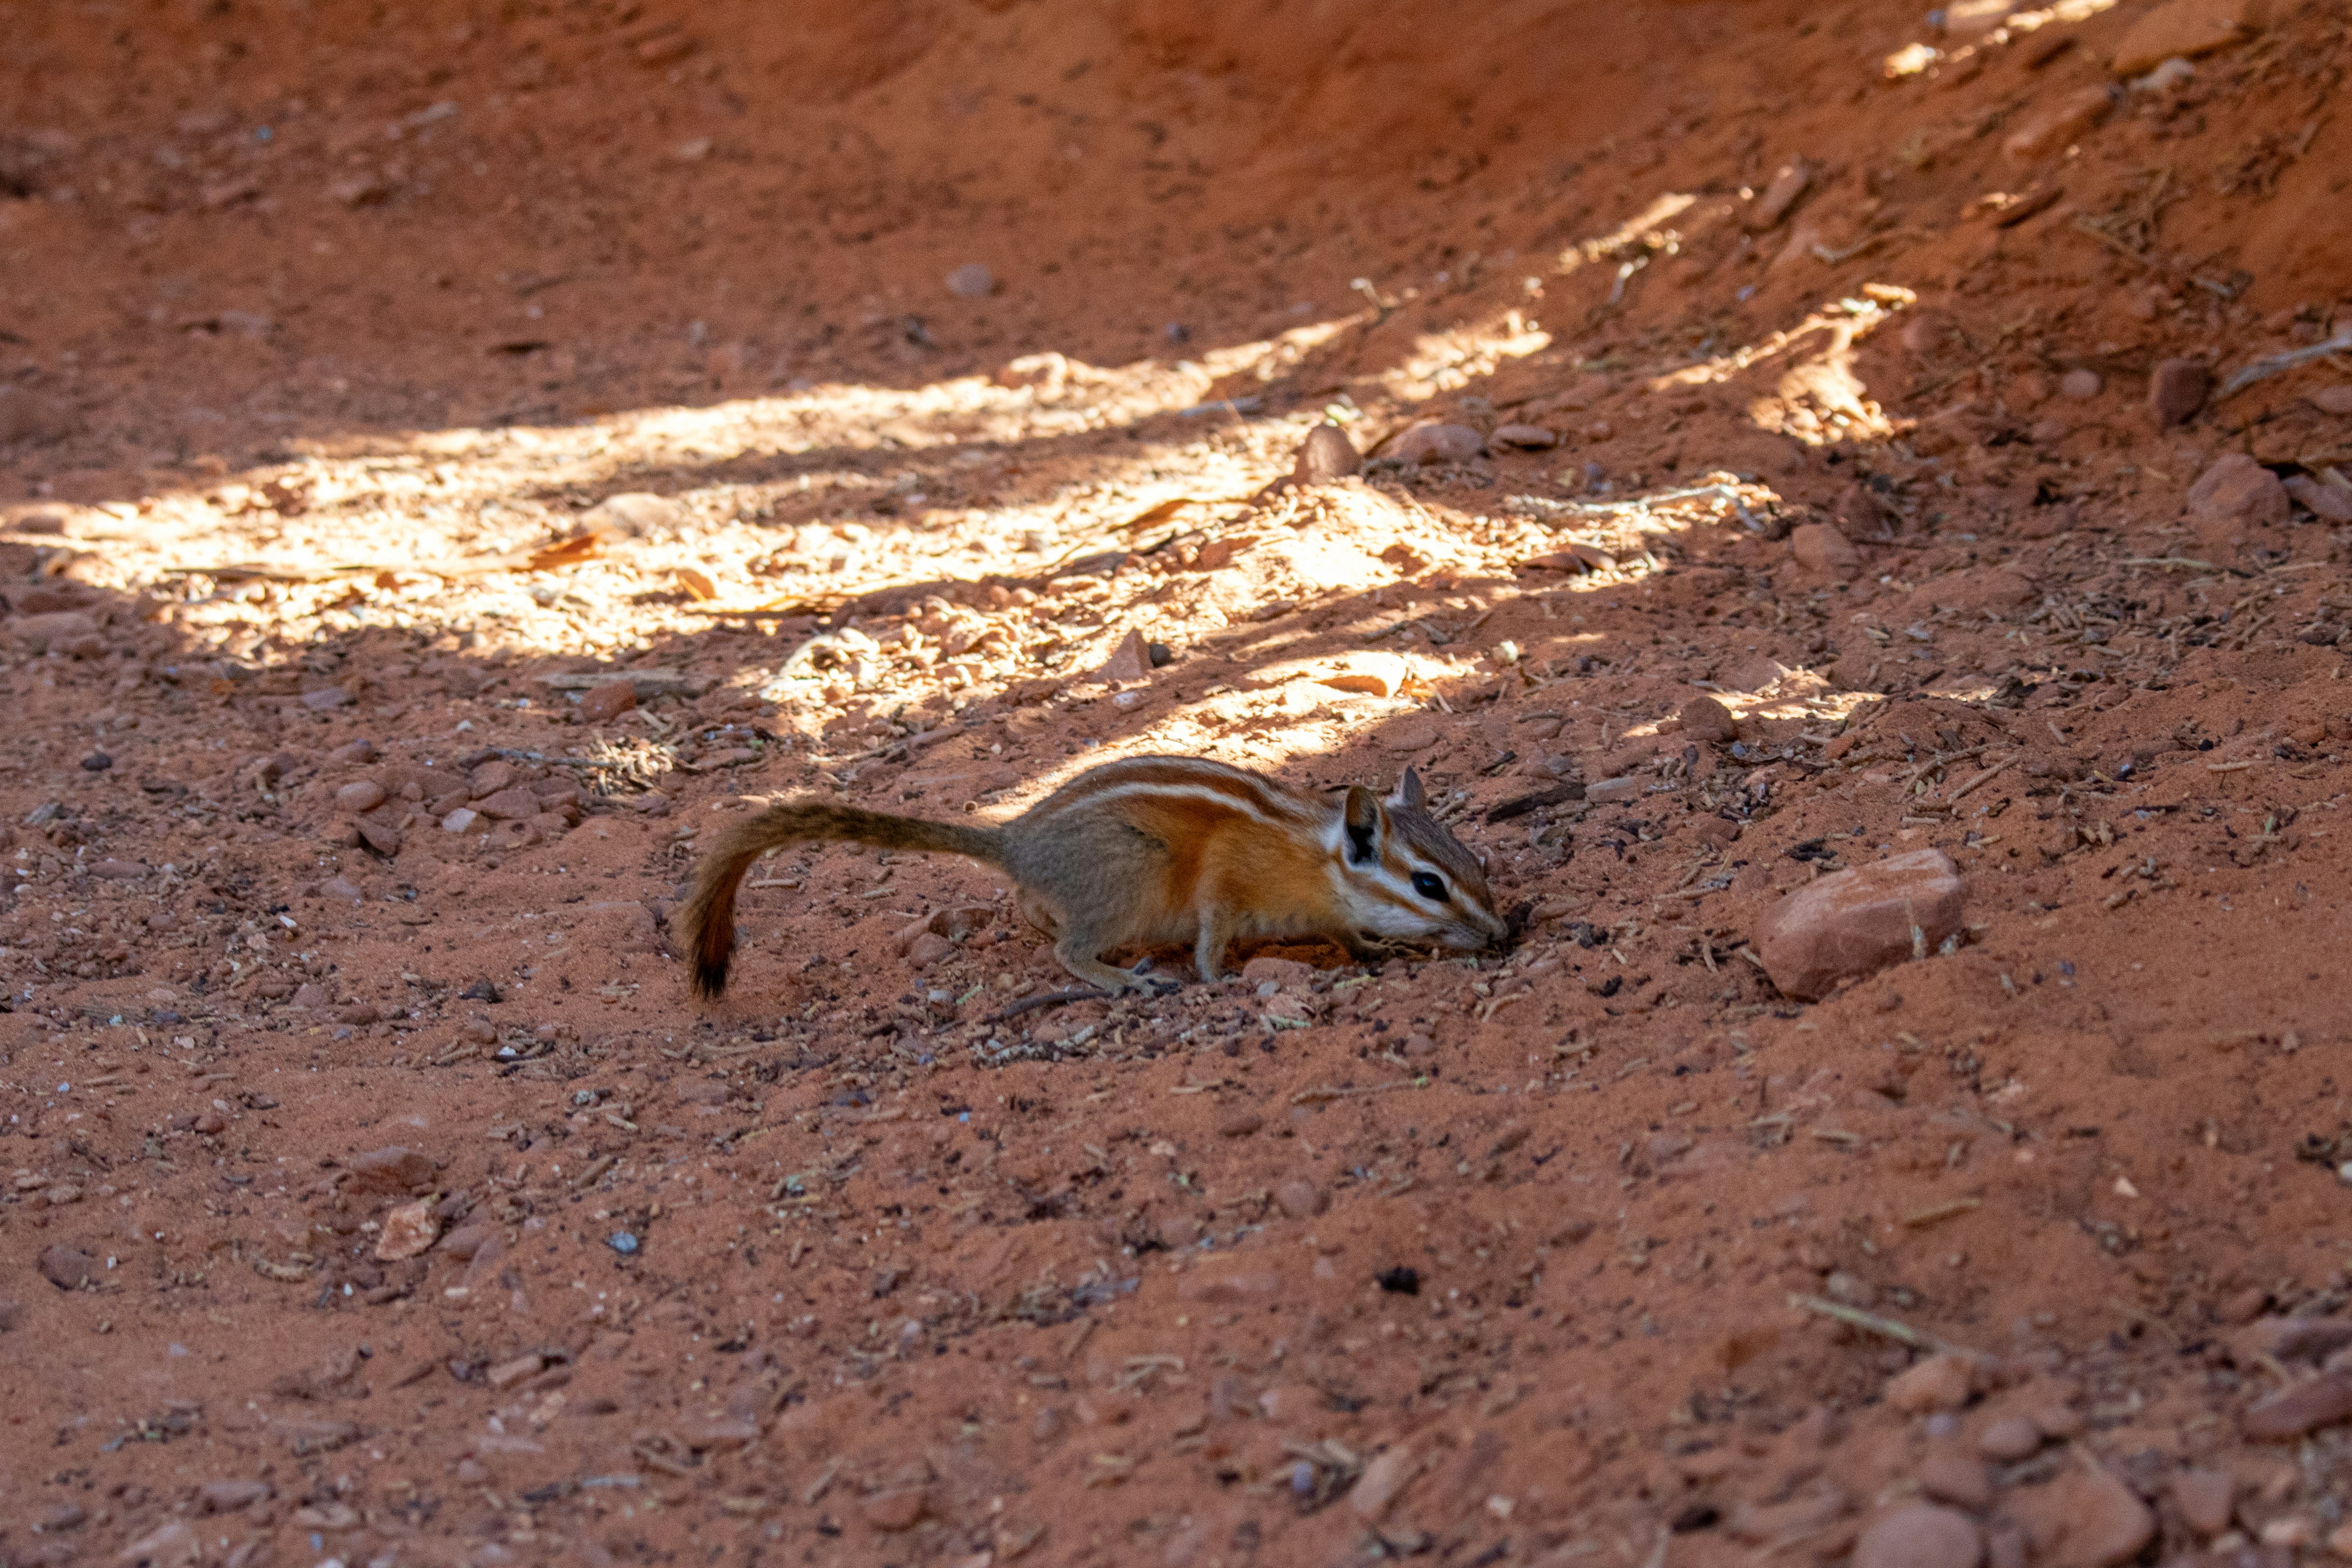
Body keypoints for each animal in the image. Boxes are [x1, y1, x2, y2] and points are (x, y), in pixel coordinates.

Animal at [680, 754, 1506, 999]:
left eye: (1479, 863)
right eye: (1429, 883)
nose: (1504, 932)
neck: (1317, 856)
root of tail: (1015, 841)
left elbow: (1350, 933)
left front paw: (1378, 948)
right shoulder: (1225, 881)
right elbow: (1213, 932)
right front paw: (1219, 978)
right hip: (1130, 880)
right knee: (1064, 950)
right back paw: (1118, 978)